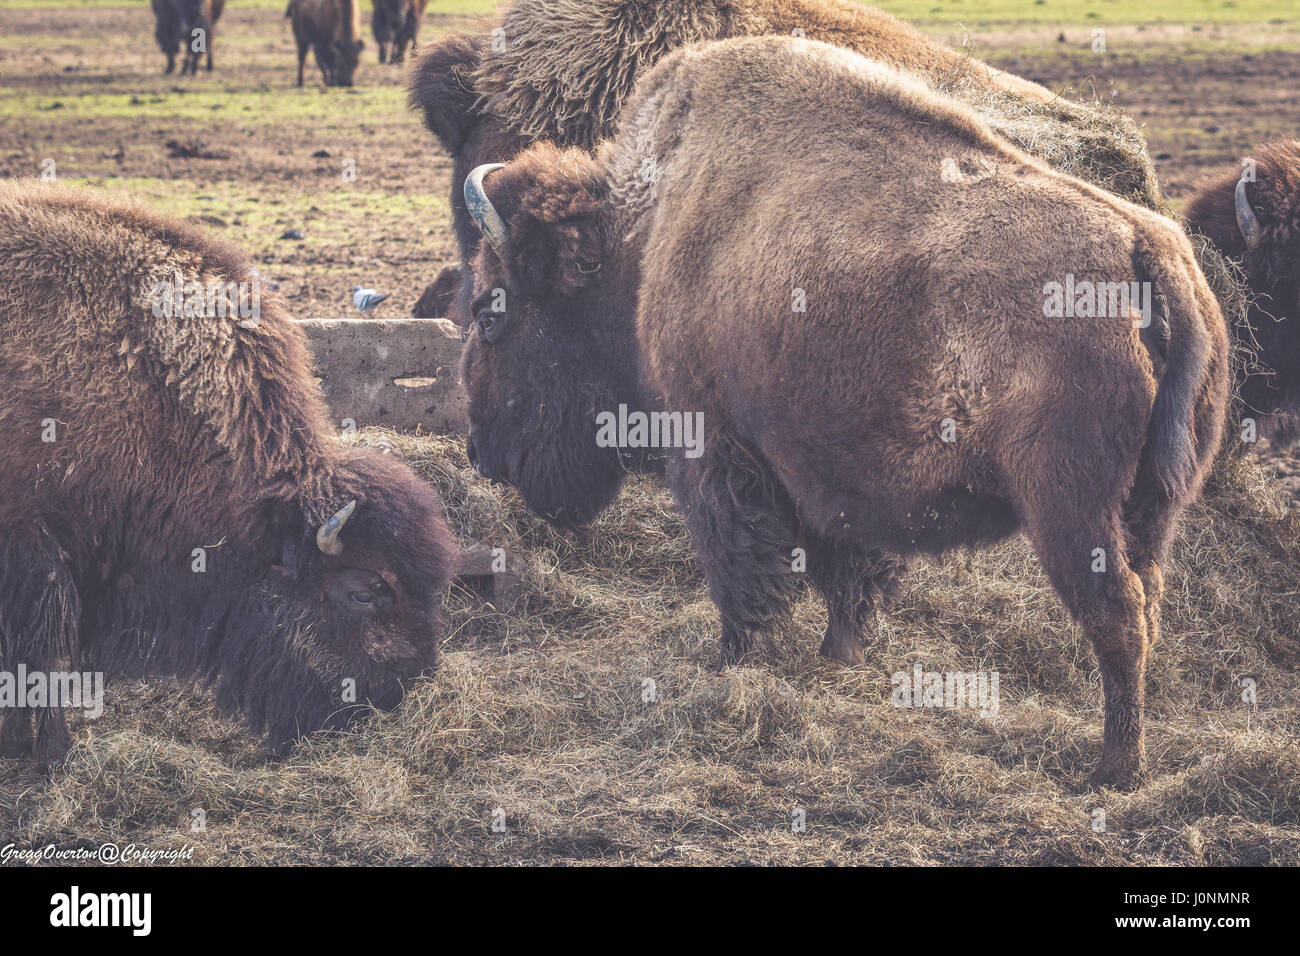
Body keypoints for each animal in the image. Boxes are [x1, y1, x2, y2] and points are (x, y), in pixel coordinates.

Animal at [456, 38, 1230, 789]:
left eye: (491, 311)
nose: (479, 449)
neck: (642, 235)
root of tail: (1145, 247)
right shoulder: (833, 472)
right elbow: (848, 575)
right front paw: (838, 657)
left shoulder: (713, 451)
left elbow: (742, 567)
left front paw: (733, 662)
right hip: (1149, 510)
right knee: (1147, 604)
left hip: (1070, 508)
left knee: (1116, 616)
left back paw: (1112, 771)